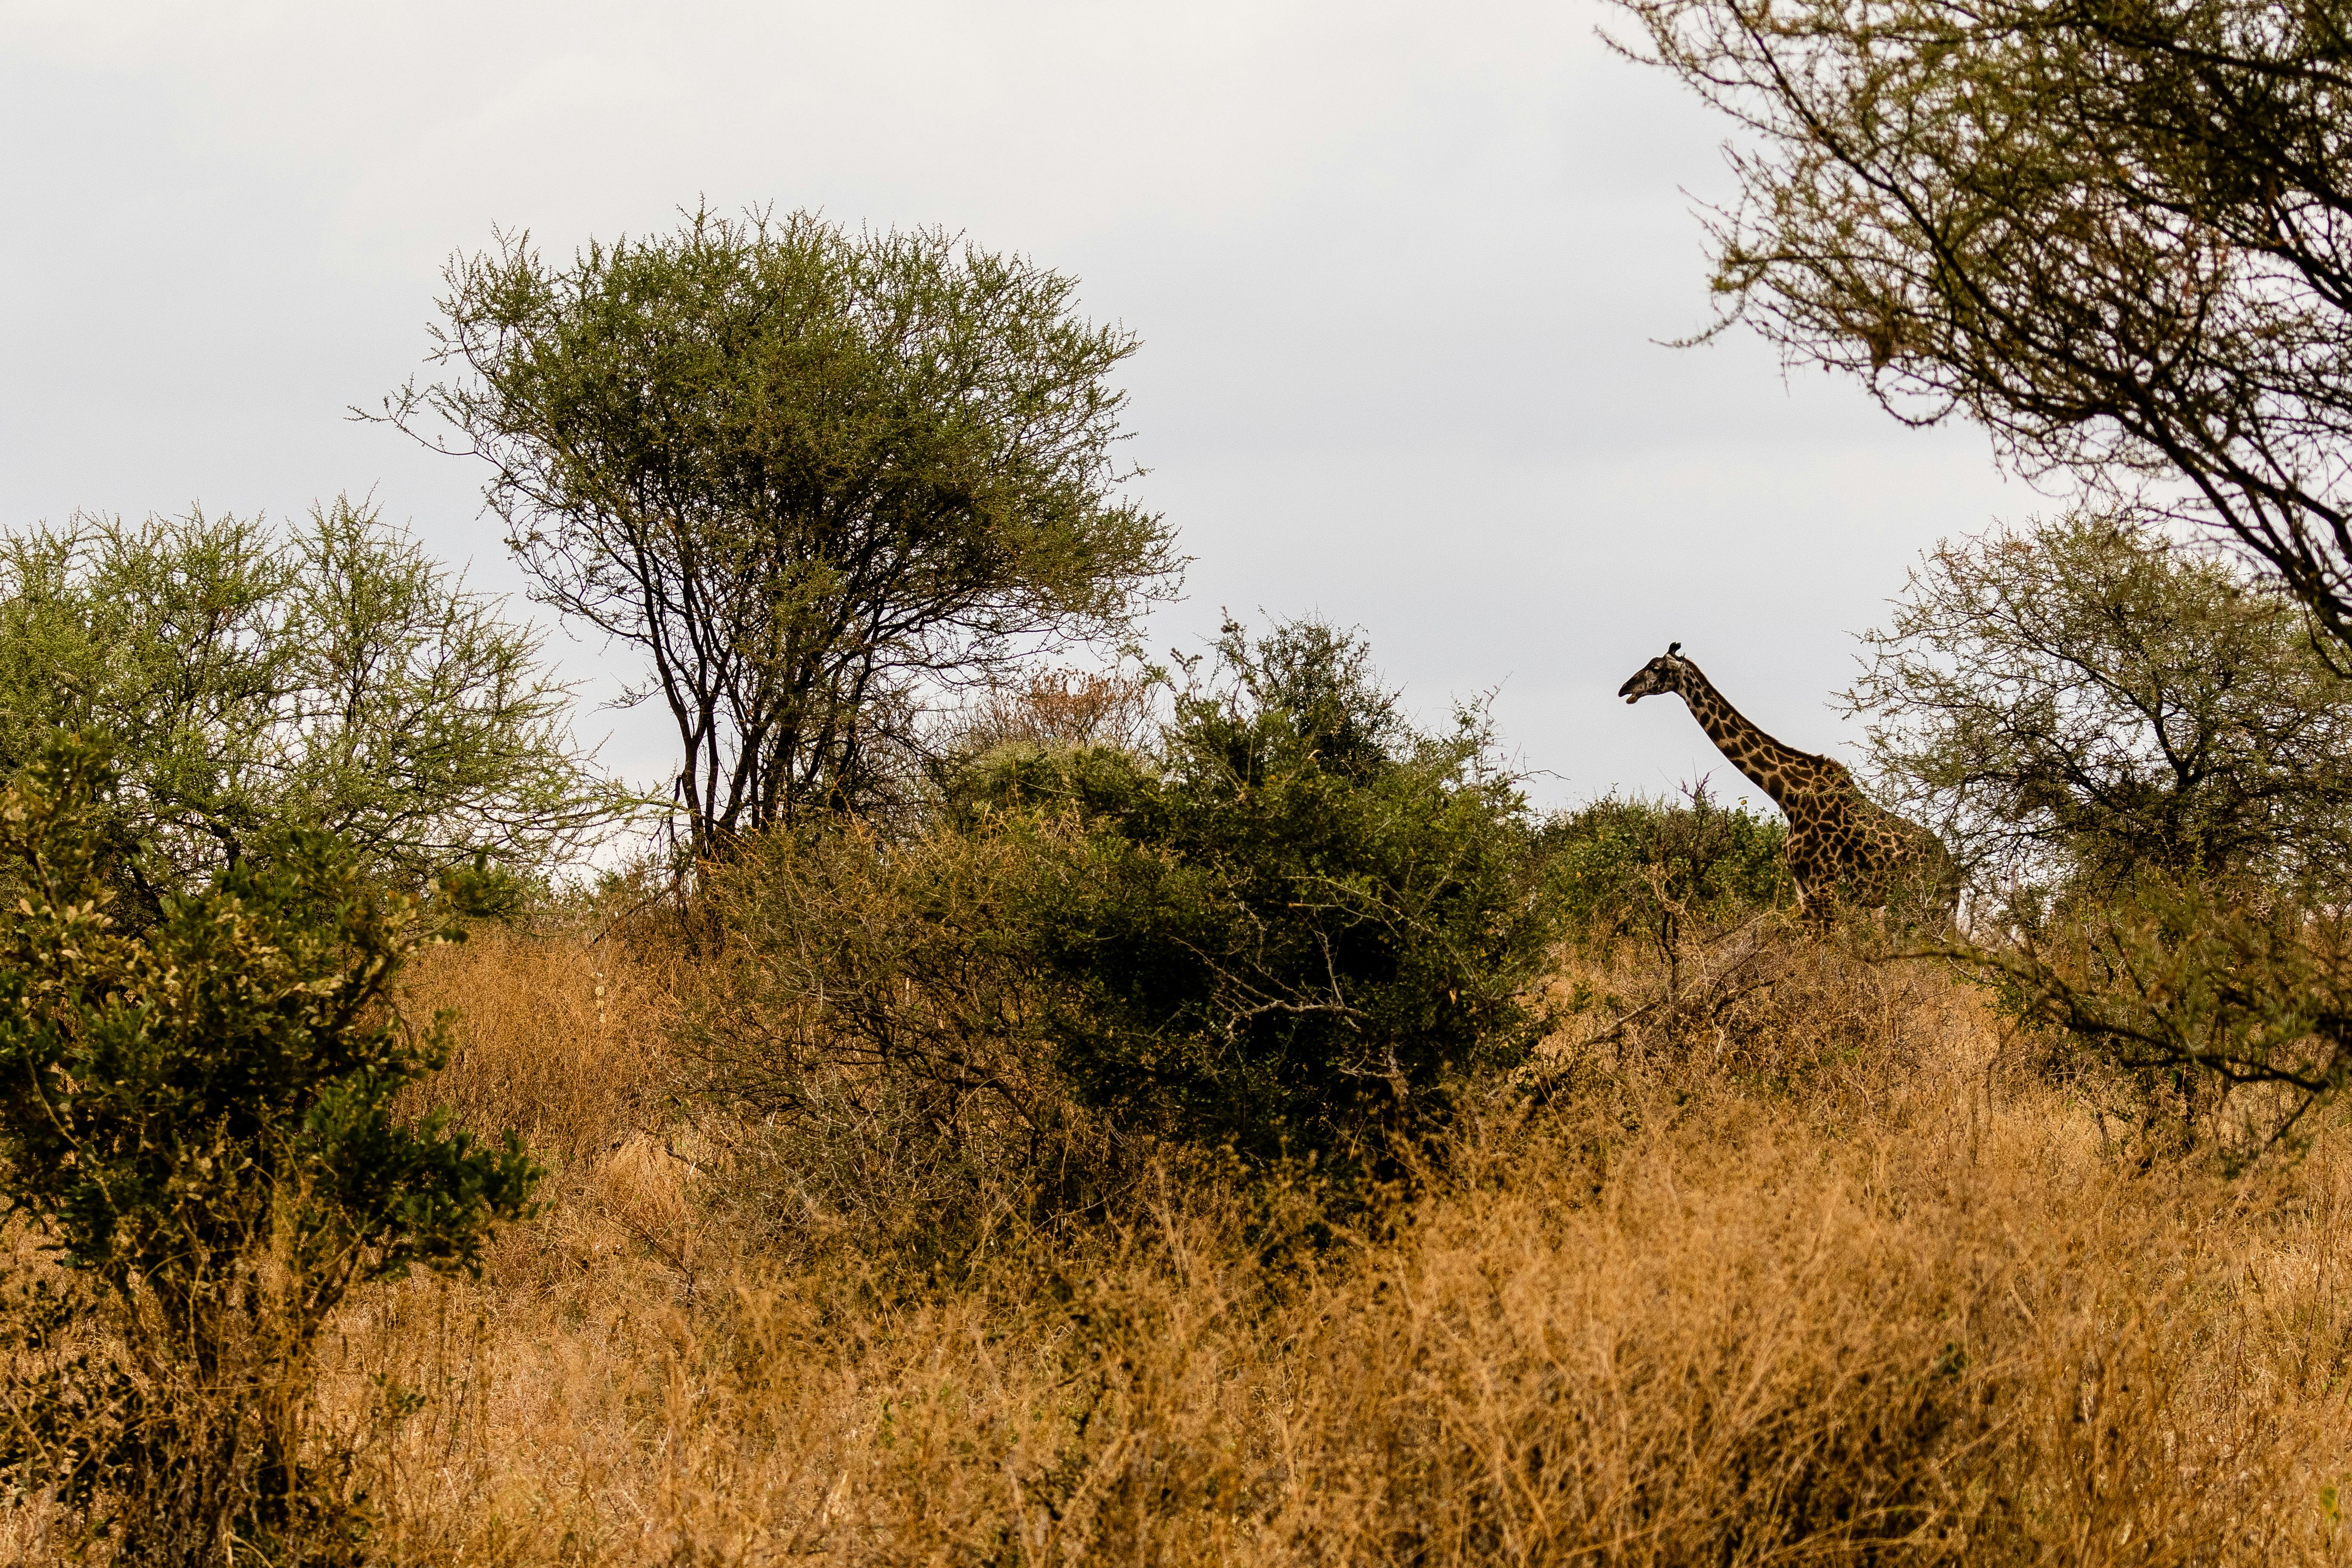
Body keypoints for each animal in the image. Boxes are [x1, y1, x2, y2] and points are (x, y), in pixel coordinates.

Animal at [1616, 643, 1956, 927]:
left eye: (1656, 667)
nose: (1624, 689)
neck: (1789, 796)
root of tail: (1956, 871)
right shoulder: (1804, 888)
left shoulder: (1826, 883)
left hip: (1925, 905)